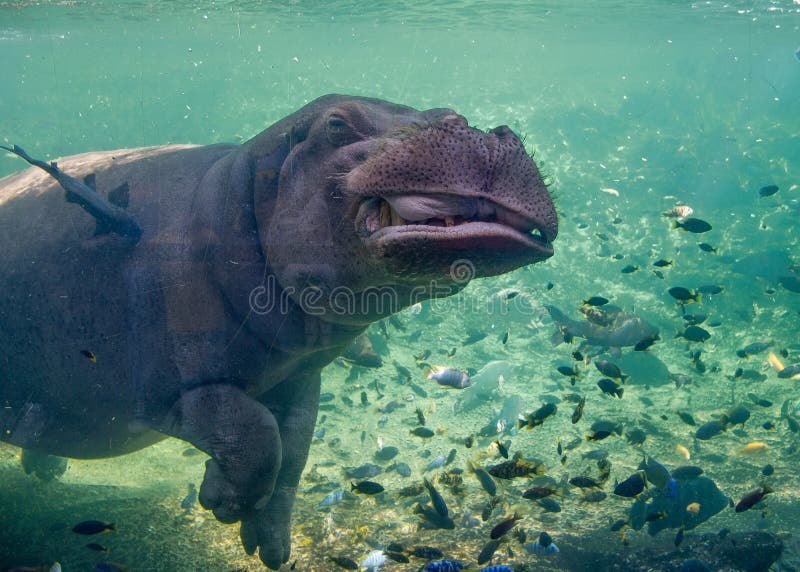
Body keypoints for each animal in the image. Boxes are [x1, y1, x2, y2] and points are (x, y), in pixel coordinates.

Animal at [0, 94, 557, 568]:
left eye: (448, 113)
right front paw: (221, 503)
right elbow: (257, 436)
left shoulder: (298, 378)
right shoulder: (177, 387)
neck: (223, 201)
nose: (475, 130)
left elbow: (290, 457)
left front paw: (265, 544)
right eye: (336, 123)